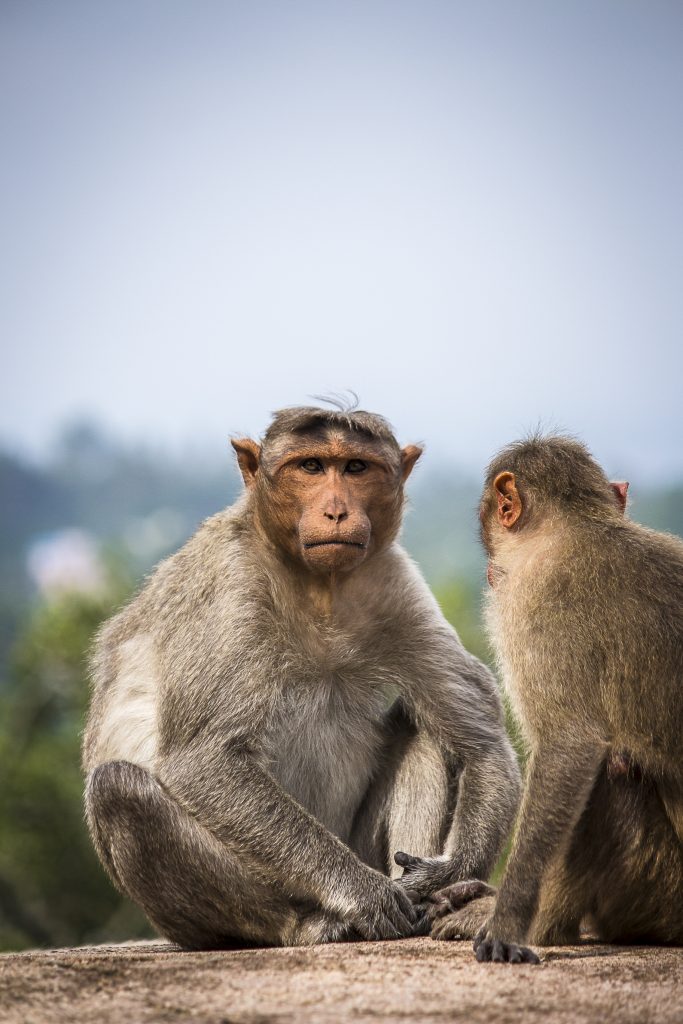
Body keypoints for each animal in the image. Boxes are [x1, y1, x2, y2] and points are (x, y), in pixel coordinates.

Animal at [82, 405, 521, 950]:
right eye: (310, 466)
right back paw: (306, 923)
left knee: (426, 731)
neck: (318, 587)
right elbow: (202, 761)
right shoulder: (229, 588)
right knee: (116, 789)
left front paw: (446, 874)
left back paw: (434, 903)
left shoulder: (393, 582)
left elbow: (482, 745)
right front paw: (364, 894)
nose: (335, 512)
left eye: (355, 467)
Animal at [421, 434, 683, 963]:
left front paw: (505, 923)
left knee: (609, 769)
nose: (491, 573)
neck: (581, 528)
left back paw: (539, 927)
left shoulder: (534, 605)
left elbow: (570, 745)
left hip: (655, 886)